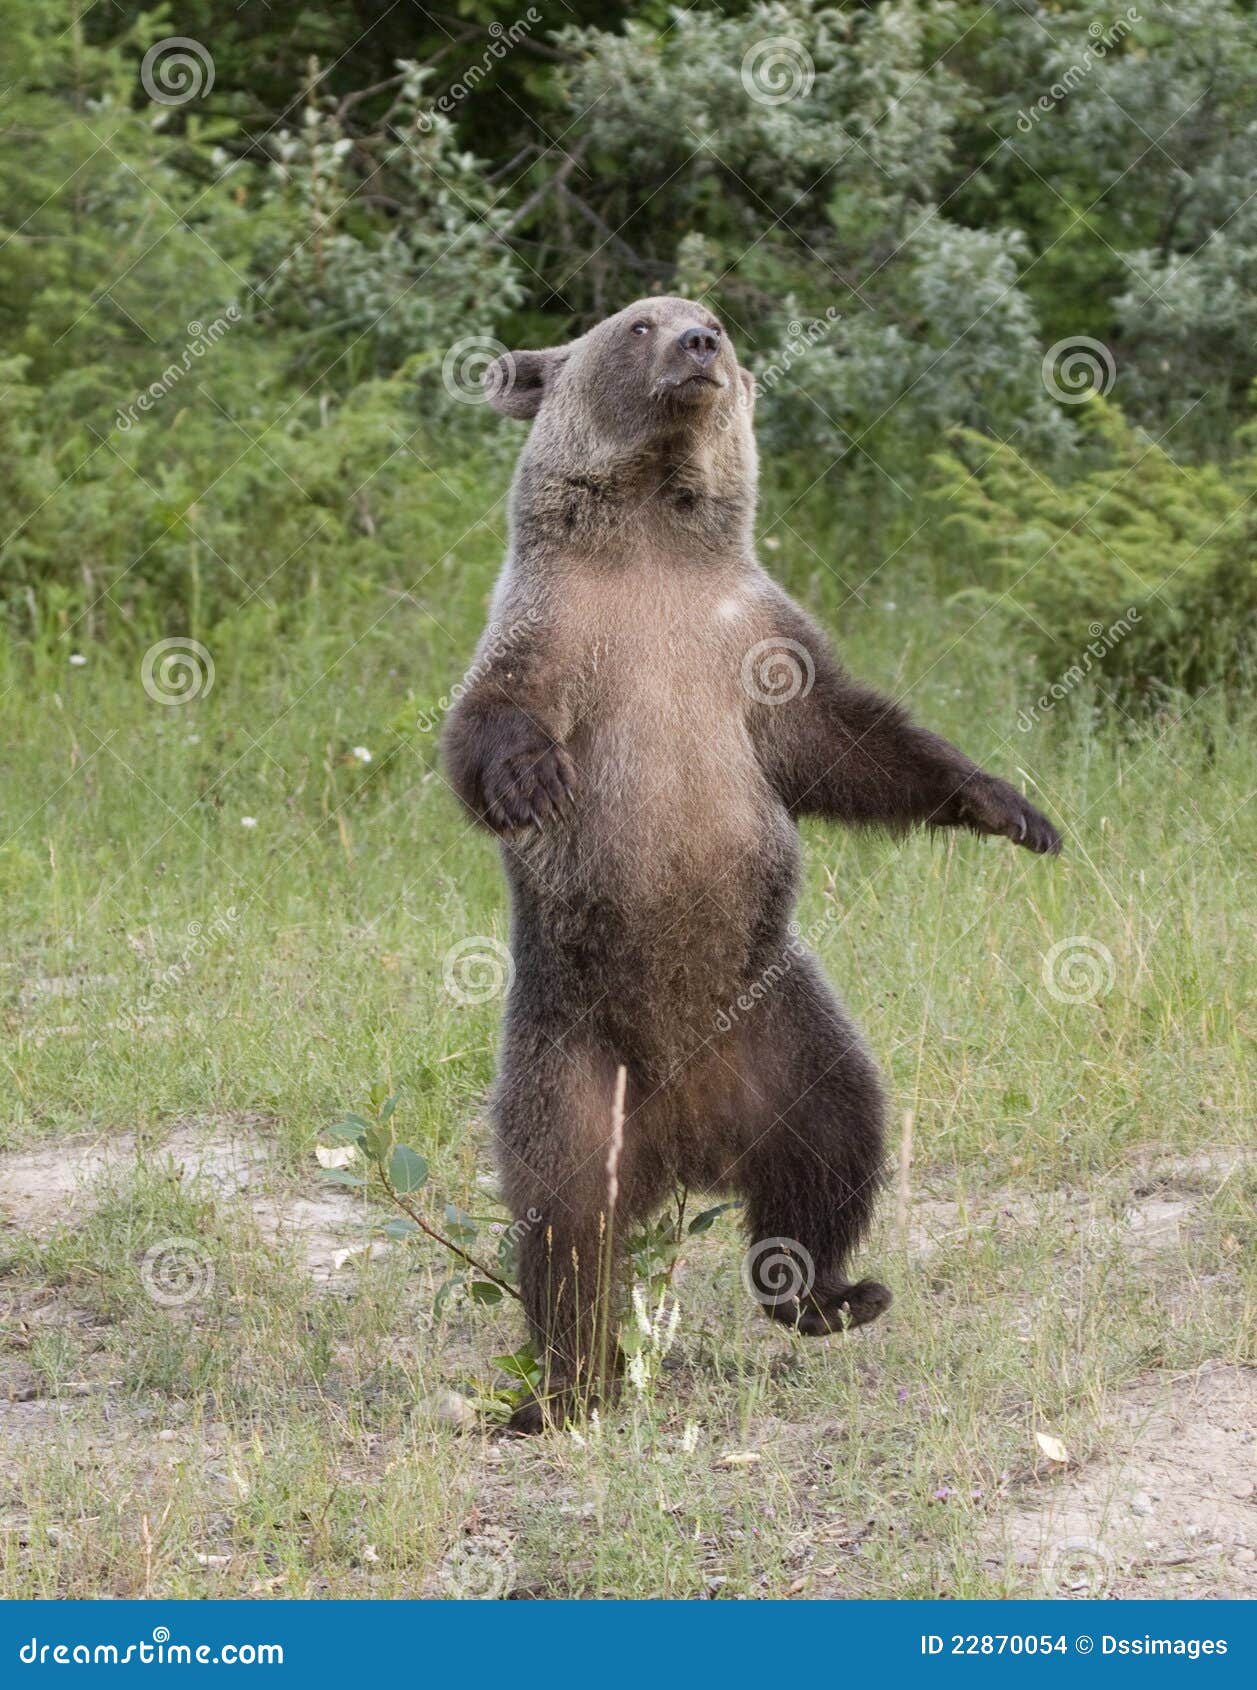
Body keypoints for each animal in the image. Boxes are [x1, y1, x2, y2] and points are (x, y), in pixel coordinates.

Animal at [442, 296, 1061, 1432]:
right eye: (640, 324)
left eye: (712, 321)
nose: (700, 346)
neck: (651, 541)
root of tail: (687, 1146)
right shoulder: (554, 634)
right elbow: (486, 721)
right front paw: (527, 780)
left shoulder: (751, 640)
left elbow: (849, 742)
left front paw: (1007, 804)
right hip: (572, 1058)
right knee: (564, 1225)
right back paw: (570, 1384)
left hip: (781, 1030)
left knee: (836, 1141)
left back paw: (825, 1292)